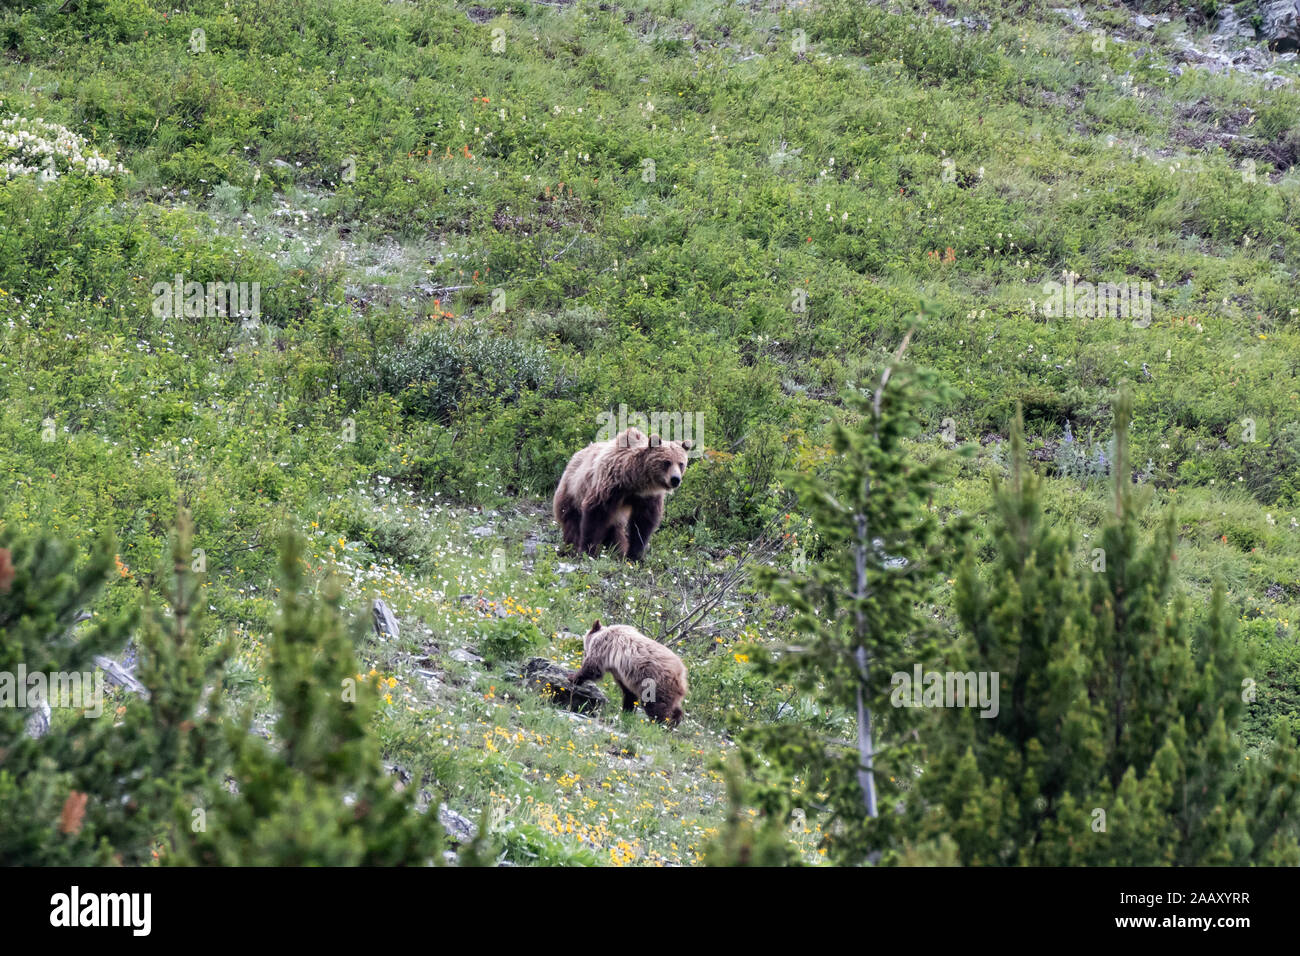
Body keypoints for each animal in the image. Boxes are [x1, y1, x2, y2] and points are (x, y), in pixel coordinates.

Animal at [553, 426, 693, 561]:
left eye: (681, 463)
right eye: (667, 462)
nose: (675, 479)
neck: (634, 481)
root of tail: (574, 457)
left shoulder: (647, 497)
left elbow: (643, 524)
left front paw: (634, 555)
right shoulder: (609, 486)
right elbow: (595, 515)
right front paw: (587, 551)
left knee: (614, 532)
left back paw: (618, 551)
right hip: (571, 493)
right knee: (572, 524)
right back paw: (571, 548)